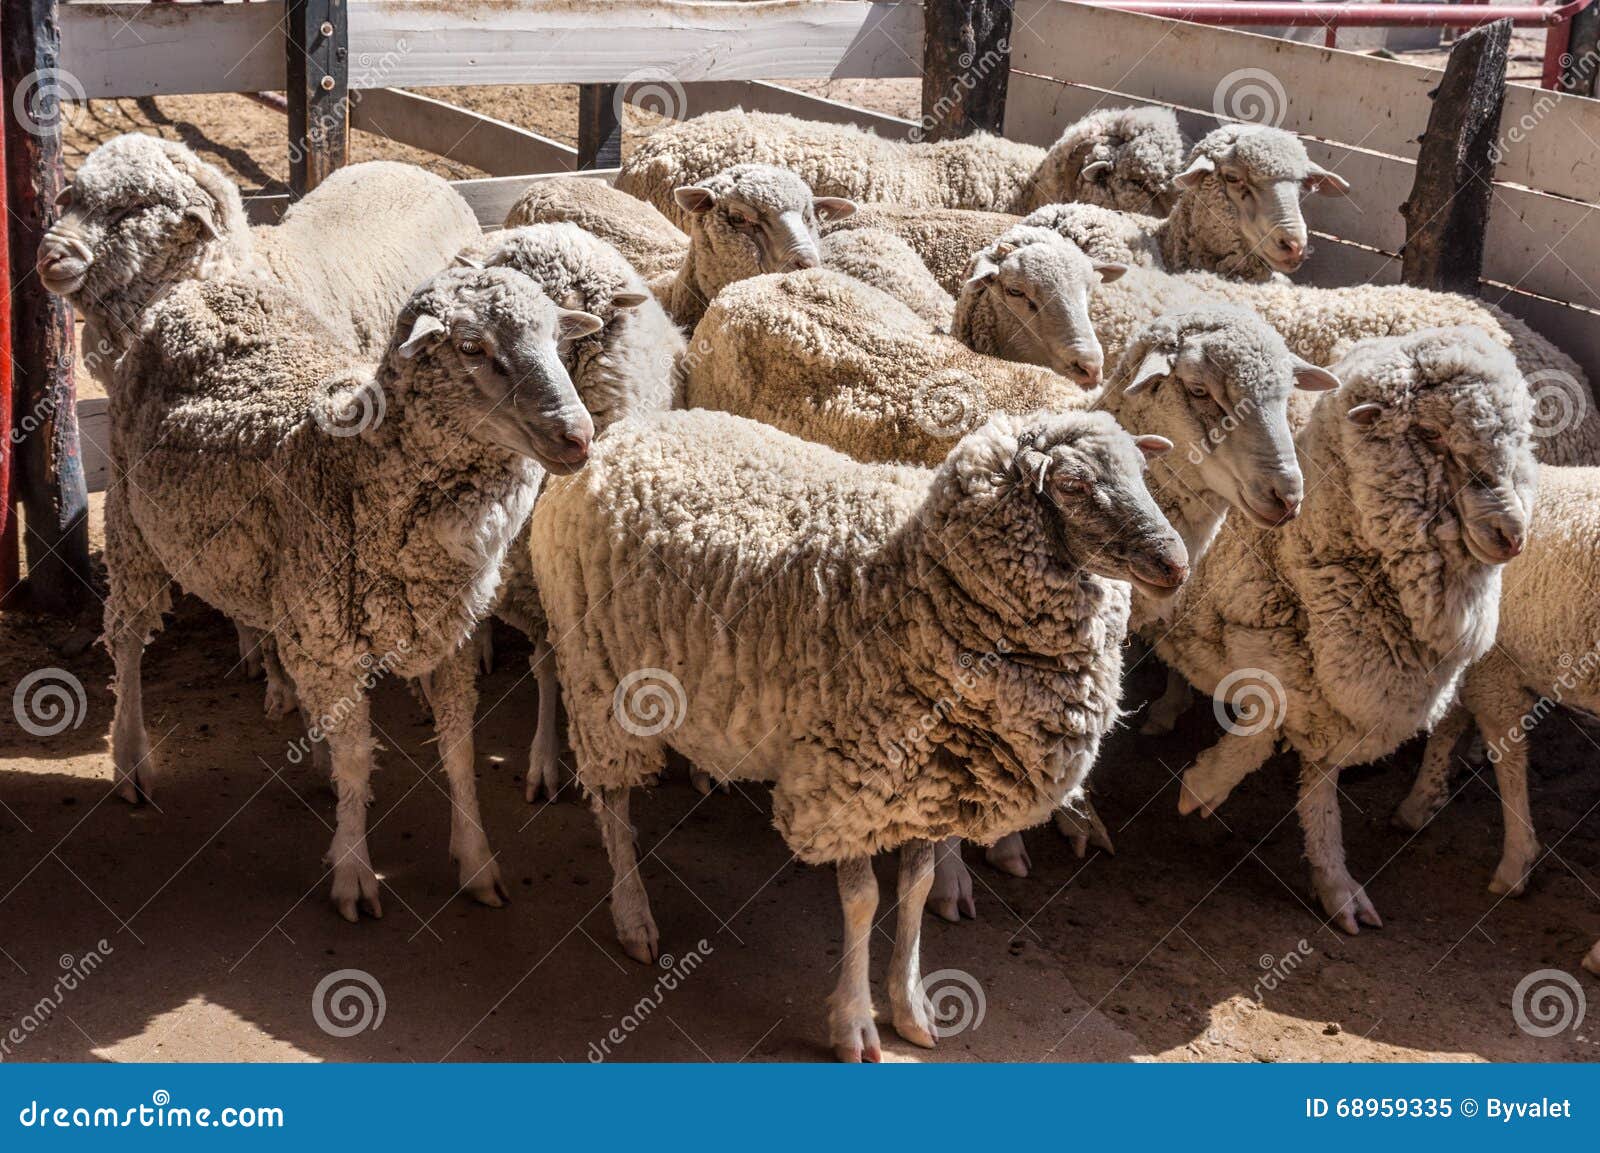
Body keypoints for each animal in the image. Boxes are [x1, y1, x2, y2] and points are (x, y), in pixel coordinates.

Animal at [102, 264, 600, 918]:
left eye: (558, 340)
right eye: (471, 347)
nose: (578, 437)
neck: (352, 465)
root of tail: (200, 284)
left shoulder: (447, 637)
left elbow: (460, 750)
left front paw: (476, 863)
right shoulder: (336, 642)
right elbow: (360, 757)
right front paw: (355, 873)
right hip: (130, 527)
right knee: (128, 640)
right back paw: (131, 761)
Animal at [528, 405, 1188, 1059]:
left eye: (1142, 472)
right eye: (1073, 485)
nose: (1176, 565)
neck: (917, 577)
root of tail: (622, 433)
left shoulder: (928, 784)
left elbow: (918, 887)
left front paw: (911, 1008)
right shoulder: (845, 779)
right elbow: (863, 899)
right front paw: (855, 1025)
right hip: (597, 680)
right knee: (612, 802)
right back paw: (633, 916)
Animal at [1160, 327, 1536, 933]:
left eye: (1520, 438)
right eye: (1431, 432)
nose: (1511, 534)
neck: (1299, 545)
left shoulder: (1338, 688)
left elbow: (1320, 778)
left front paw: (1333, 882)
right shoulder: (1266, 644)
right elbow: (1266, 725)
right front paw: (1203, 787)